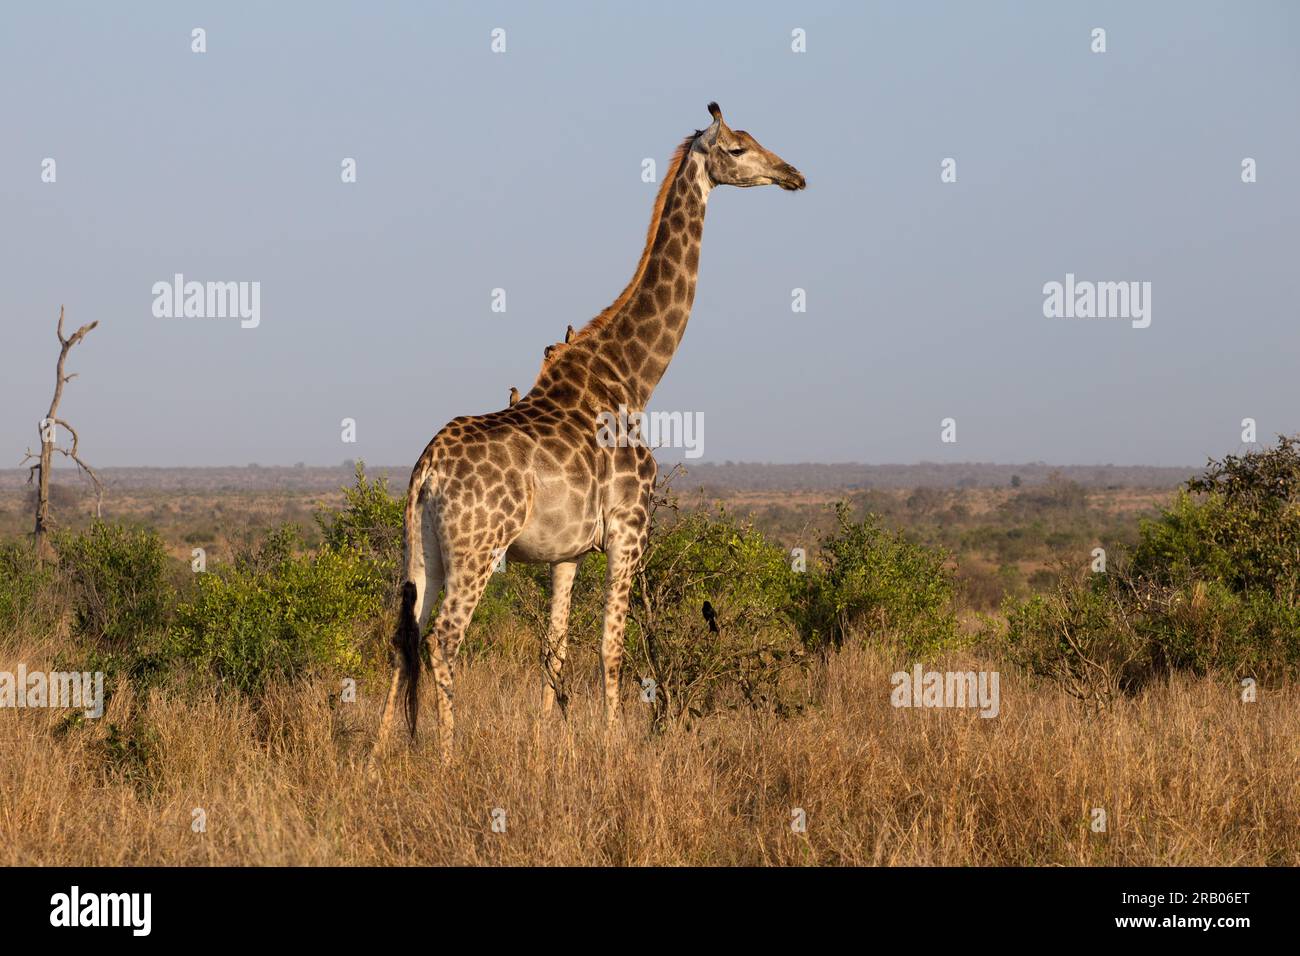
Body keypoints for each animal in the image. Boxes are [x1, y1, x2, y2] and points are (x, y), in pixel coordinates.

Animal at [374, 102, 805, 762]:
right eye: (737, 149)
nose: (792, 175)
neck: (632, 379)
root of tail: (428, 470)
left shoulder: (568, 551)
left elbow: (553, 648)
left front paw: (546, 745)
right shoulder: (629, 529)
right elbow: (612, 645)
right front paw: (614, 744)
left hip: (422, 550)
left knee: (404, 636)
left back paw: (376, 760)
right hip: (478, 548)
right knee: (443, 638)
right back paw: (448, 755)